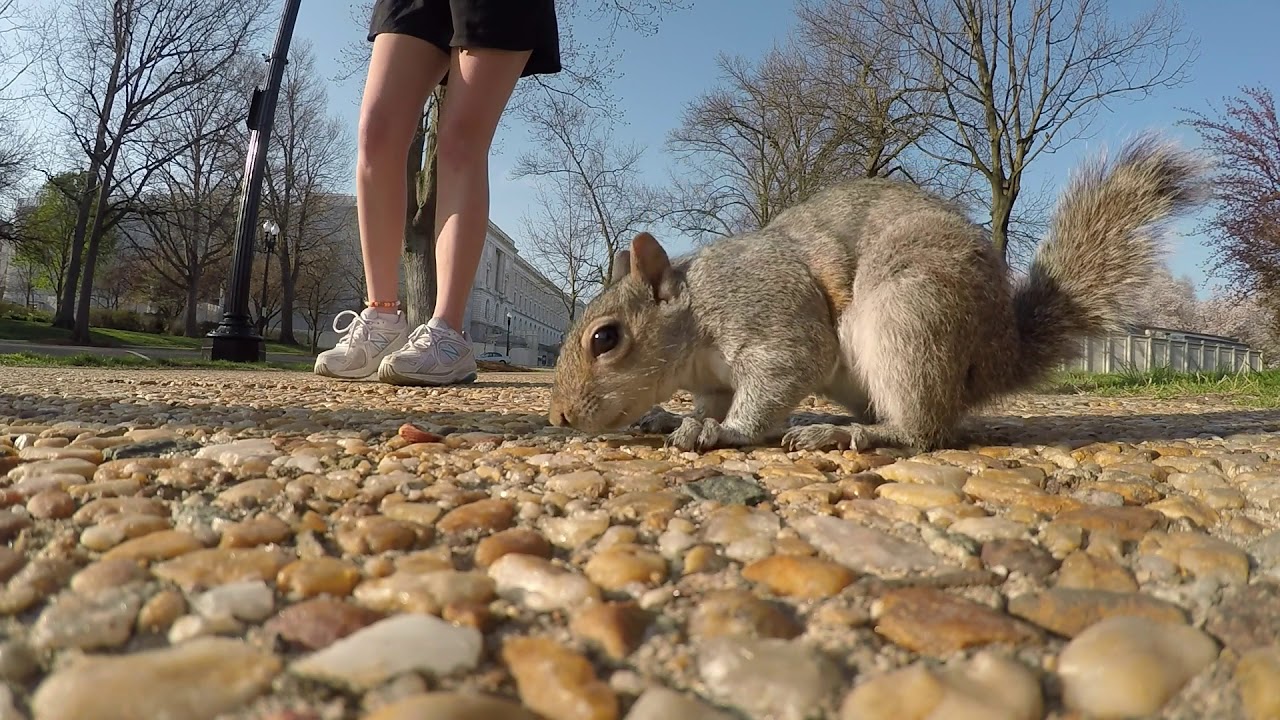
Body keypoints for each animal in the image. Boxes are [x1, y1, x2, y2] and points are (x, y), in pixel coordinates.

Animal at [546, 134, 1210, 454]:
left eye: (605, 338)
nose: (558, 417)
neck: (697, 311)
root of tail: (992, 358)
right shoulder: (712, 378)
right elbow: (710, 400)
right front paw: (672, 417)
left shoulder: (767, 313)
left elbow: (784, 370)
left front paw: (725, 433)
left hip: (910, 318)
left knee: (924, 433)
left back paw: (844, 434)